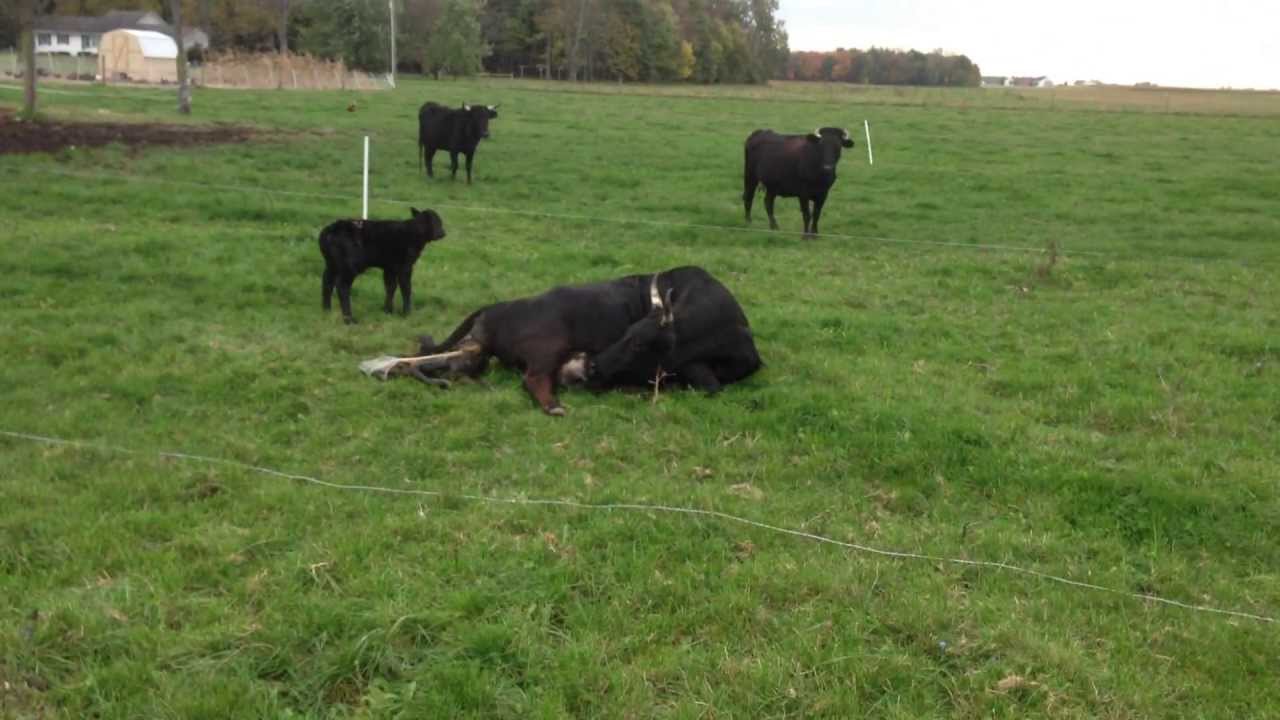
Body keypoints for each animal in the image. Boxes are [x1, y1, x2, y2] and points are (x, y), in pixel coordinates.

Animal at [319, 207, 447, 324]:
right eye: (436, 222)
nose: (443, 233)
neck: (412, 233)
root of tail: (332, 228)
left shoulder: (389, 267)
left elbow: (390, 287)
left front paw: (387, 310)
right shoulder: (405, 266)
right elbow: (406, 288)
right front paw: (406, 313)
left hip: (331, 264)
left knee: (327, 282)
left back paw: (327, 310)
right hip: (349, 267)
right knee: (342, 287)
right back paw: (349, 319)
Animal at [407, 266, 762, 416]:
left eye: (637, 343)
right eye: (626, 333)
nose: (593, 368)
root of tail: (498, 307)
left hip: (477, 354)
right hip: (549, 346)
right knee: (532, 379)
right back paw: (554, 406)